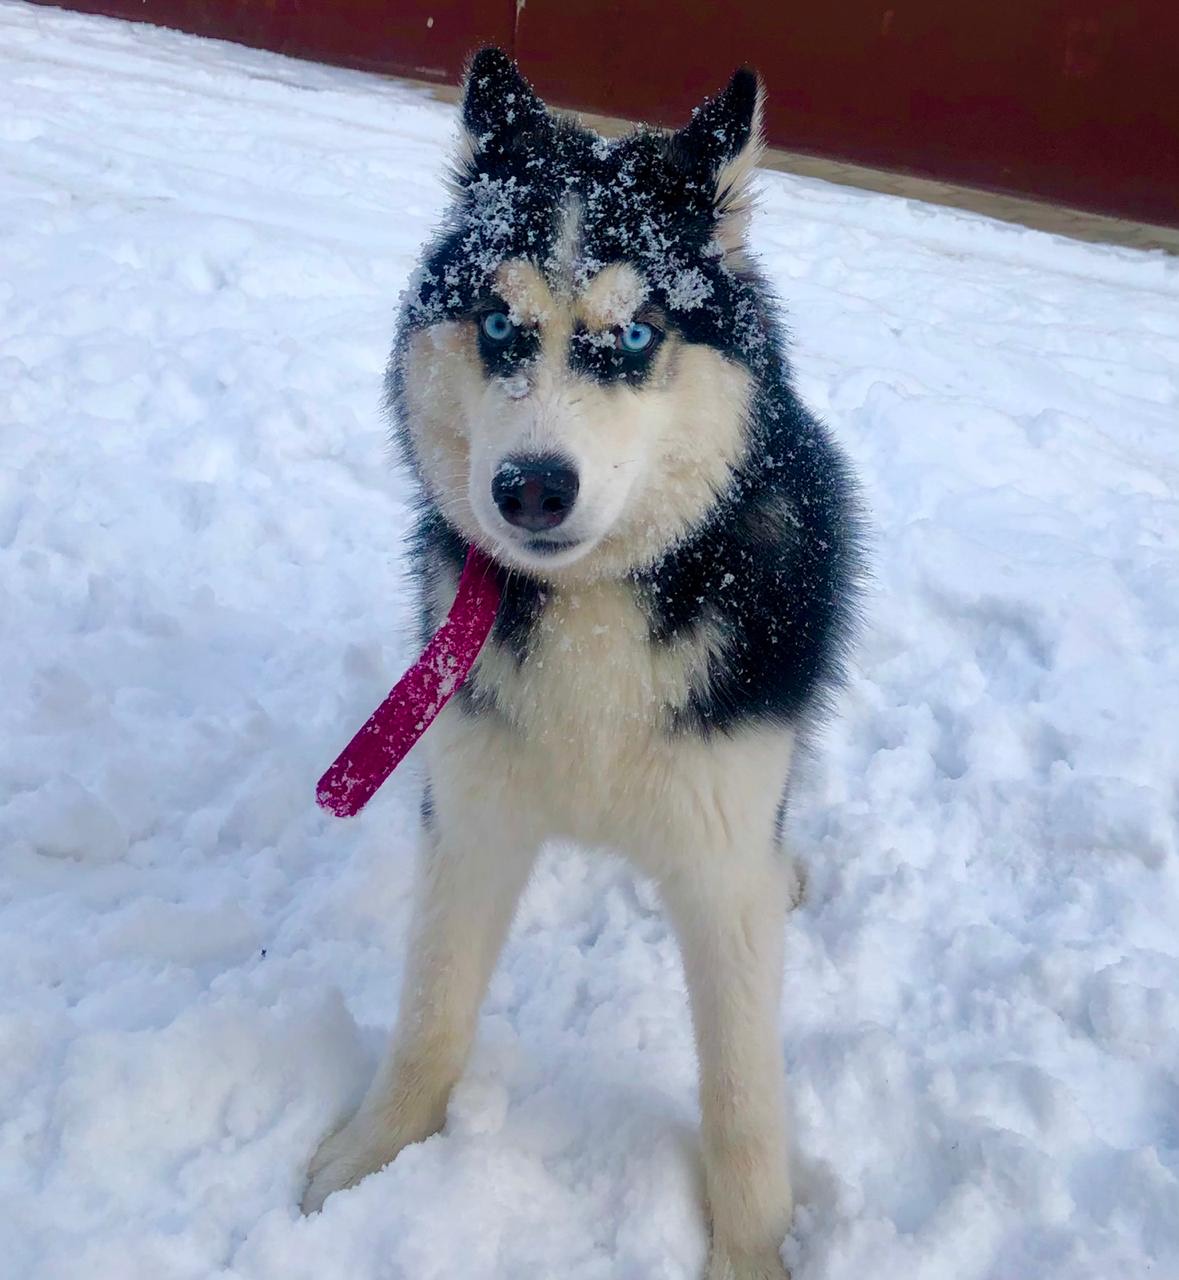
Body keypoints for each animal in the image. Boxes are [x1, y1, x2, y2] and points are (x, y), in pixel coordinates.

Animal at [300, 49, 855, 1280]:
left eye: (635, 336)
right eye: (497, 324)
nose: (531, 488)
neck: (594, 602)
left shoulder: (722, 854)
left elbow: (743, 1098)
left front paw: (753, 1252)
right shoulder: (469, 807)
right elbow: (431, 1014)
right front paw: (369, 1159)